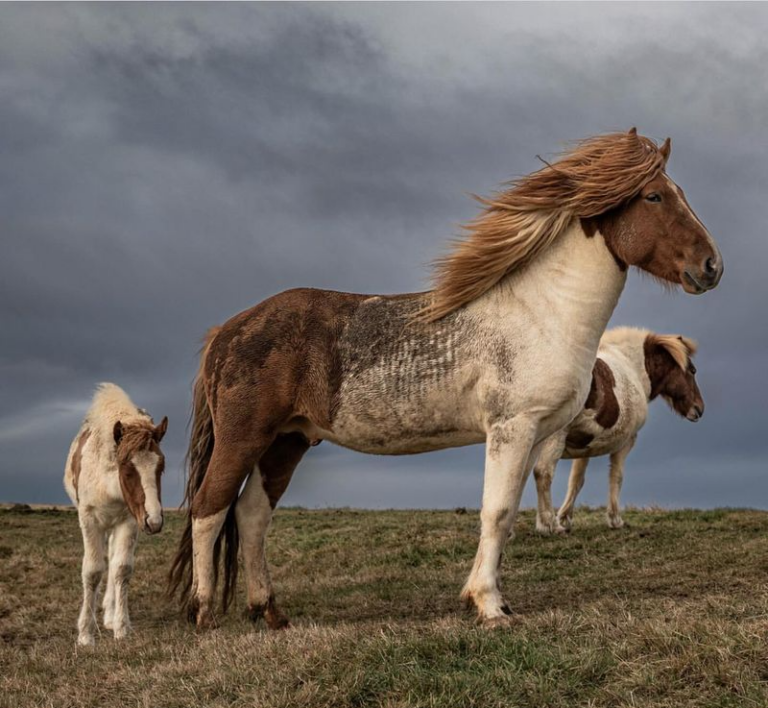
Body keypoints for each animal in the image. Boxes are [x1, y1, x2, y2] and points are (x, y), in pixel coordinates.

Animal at [64, 383, 168, 646]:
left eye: (161, 466)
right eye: (128, 469)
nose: (154, 521)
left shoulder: (129, 521)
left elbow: (121, 569)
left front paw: (121, 627)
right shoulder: (89, 520)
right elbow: (92, 571)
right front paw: (86, 634)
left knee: (112, 562)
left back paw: (110, 616)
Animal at [532, 327, 703, 535]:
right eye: (692, 370)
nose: (699, 409)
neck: (630, 366)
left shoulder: (585, 447)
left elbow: (576, 481)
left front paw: (565, 518)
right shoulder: (626, 441)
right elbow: (617, 476)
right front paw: (615, 519)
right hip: (553, 439)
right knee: (543, 473)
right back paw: (549, 525)